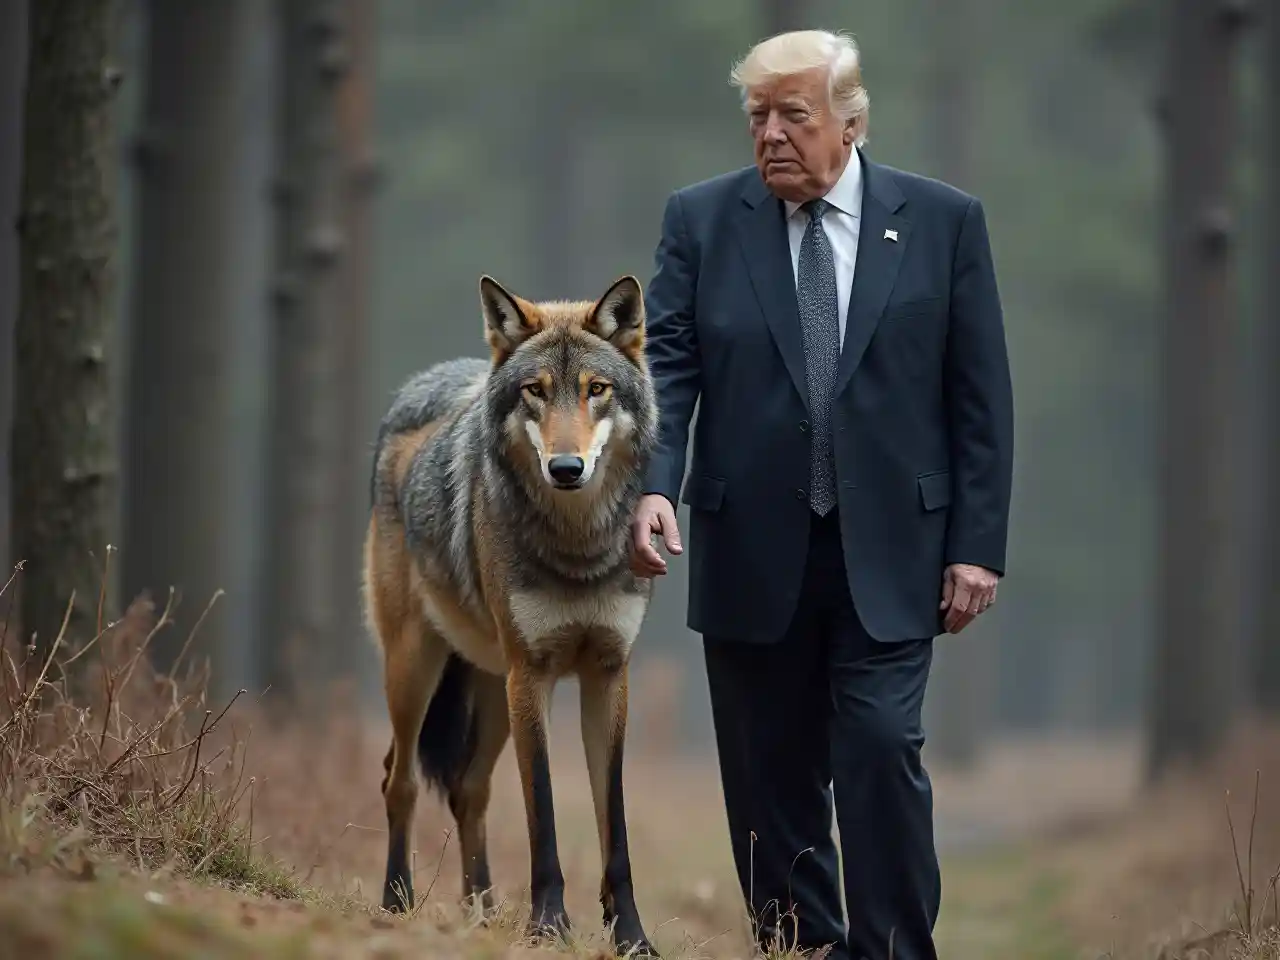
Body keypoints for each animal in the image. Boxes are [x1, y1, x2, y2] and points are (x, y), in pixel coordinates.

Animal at [362, 274, 661, 956]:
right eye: (535, 391)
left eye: (596, 390)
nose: (566, 468)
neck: (578, 549)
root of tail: (422, 381)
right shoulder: (535, 675)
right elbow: (543, 813)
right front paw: (549, 925)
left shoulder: (608, 675)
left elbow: (615, 825)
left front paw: (630, 936)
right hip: (418, 667)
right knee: (399, 778)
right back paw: (397, 902)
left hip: (492, 686)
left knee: (468, 789)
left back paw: (482, 911)